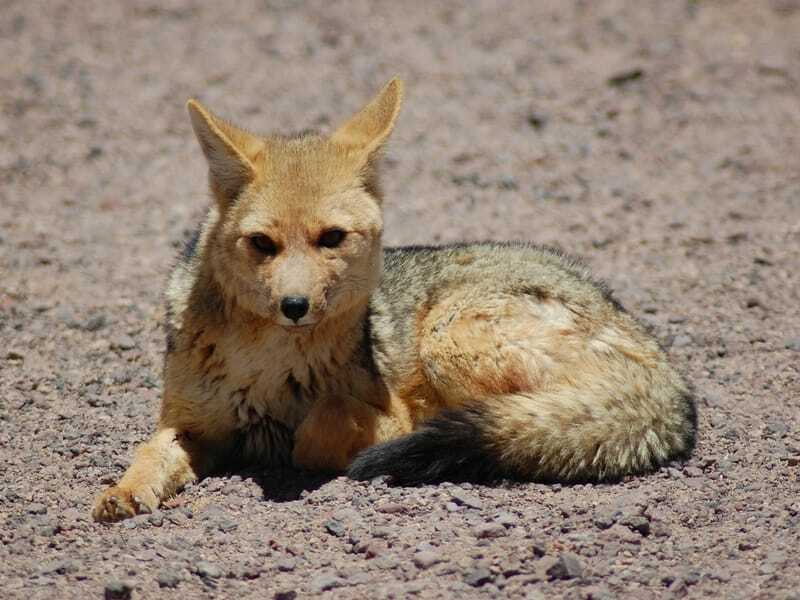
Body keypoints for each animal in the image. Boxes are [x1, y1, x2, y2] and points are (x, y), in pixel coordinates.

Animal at [92, 78, 692, 520]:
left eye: (331, 238)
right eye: (262, 244)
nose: (294, 306)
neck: (265, 363)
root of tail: (667, 369)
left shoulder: (388, 411)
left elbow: (315, 431)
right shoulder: (190, 424)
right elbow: (150, 453)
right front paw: (124, 491)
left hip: (449, 340)